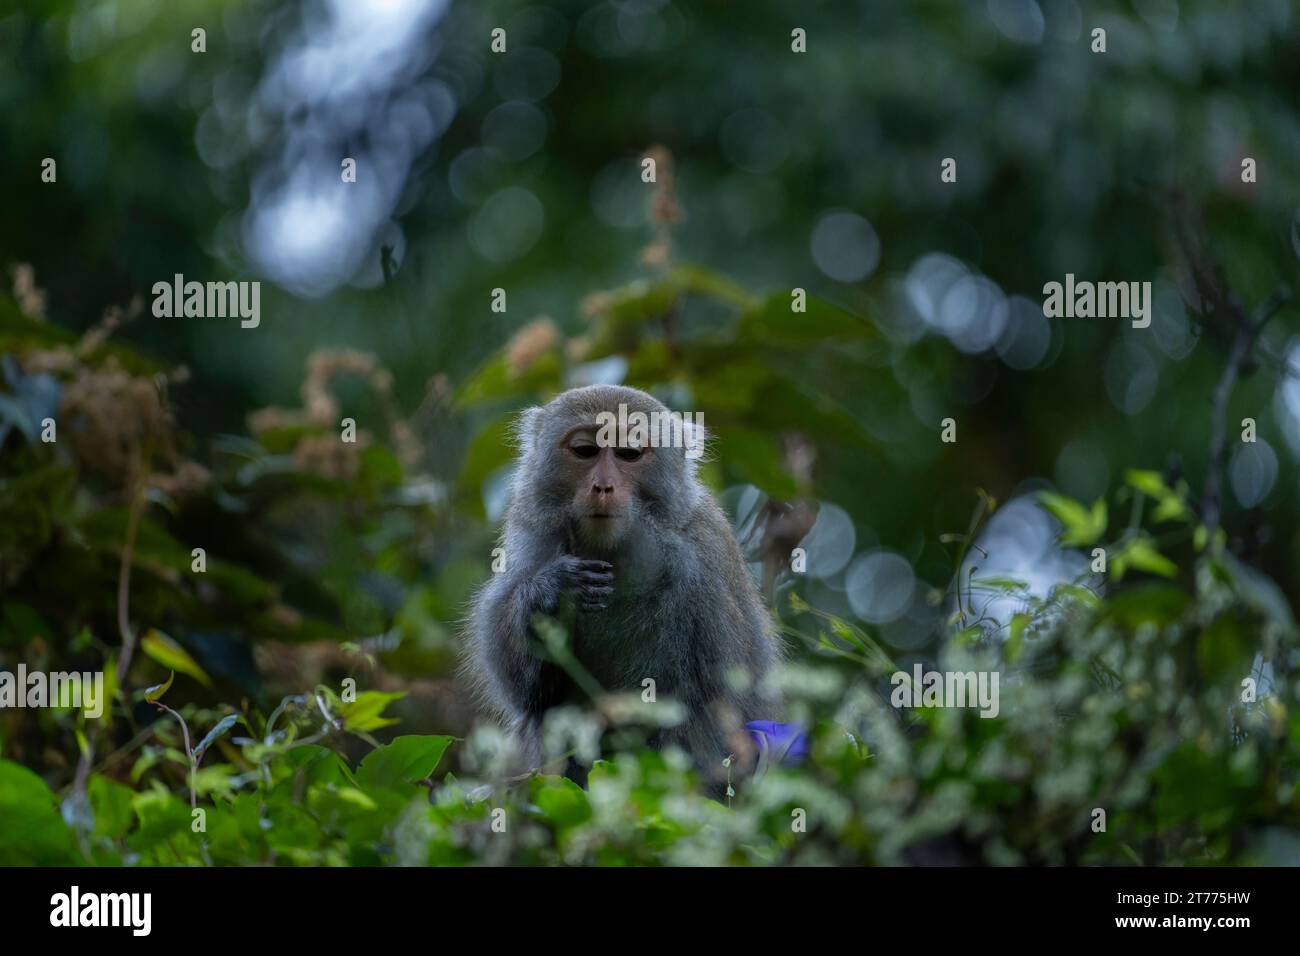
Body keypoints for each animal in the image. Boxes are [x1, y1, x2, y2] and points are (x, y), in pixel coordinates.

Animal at [462, 384, 782, 786]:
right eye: (585, 450)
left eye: (629, 454)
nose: (603, 487)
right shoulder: (532, 533)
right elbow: (524, 689)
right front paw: (551, 590)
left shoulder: (702, 560)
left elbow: (716, 701)